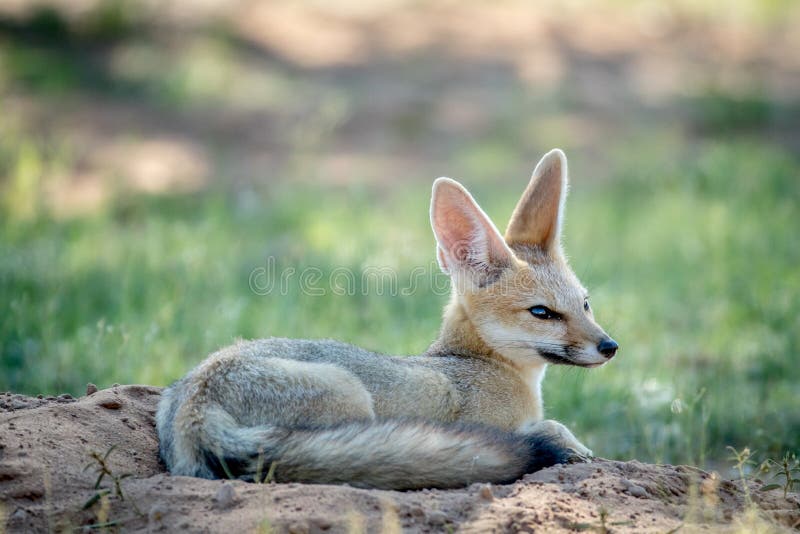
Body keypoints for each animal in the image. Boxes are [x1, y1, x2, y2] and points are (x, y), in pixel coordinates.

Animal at [156, 149, 619, 490]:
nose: (610, 346)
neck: (479, 364)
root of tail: (196, 403)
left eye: (585, 304)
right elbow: (556, 428)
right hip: (352, 397)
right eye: (542, 312)